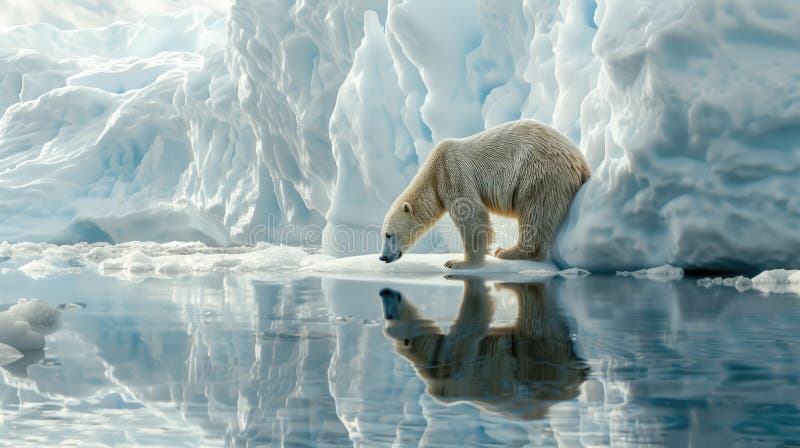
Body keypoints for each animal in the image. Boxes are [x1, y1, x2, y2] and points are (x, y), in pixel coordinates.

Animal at [379, 119, 590, 268]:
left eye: (388, 235)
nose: (383, 257)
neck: (433, 172)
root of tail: (580, 161)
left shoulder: (452, 171)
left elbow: (471, 214)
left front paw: (458, 263)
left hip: (540, 174)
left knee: (536, 212)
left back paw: (507, 252)